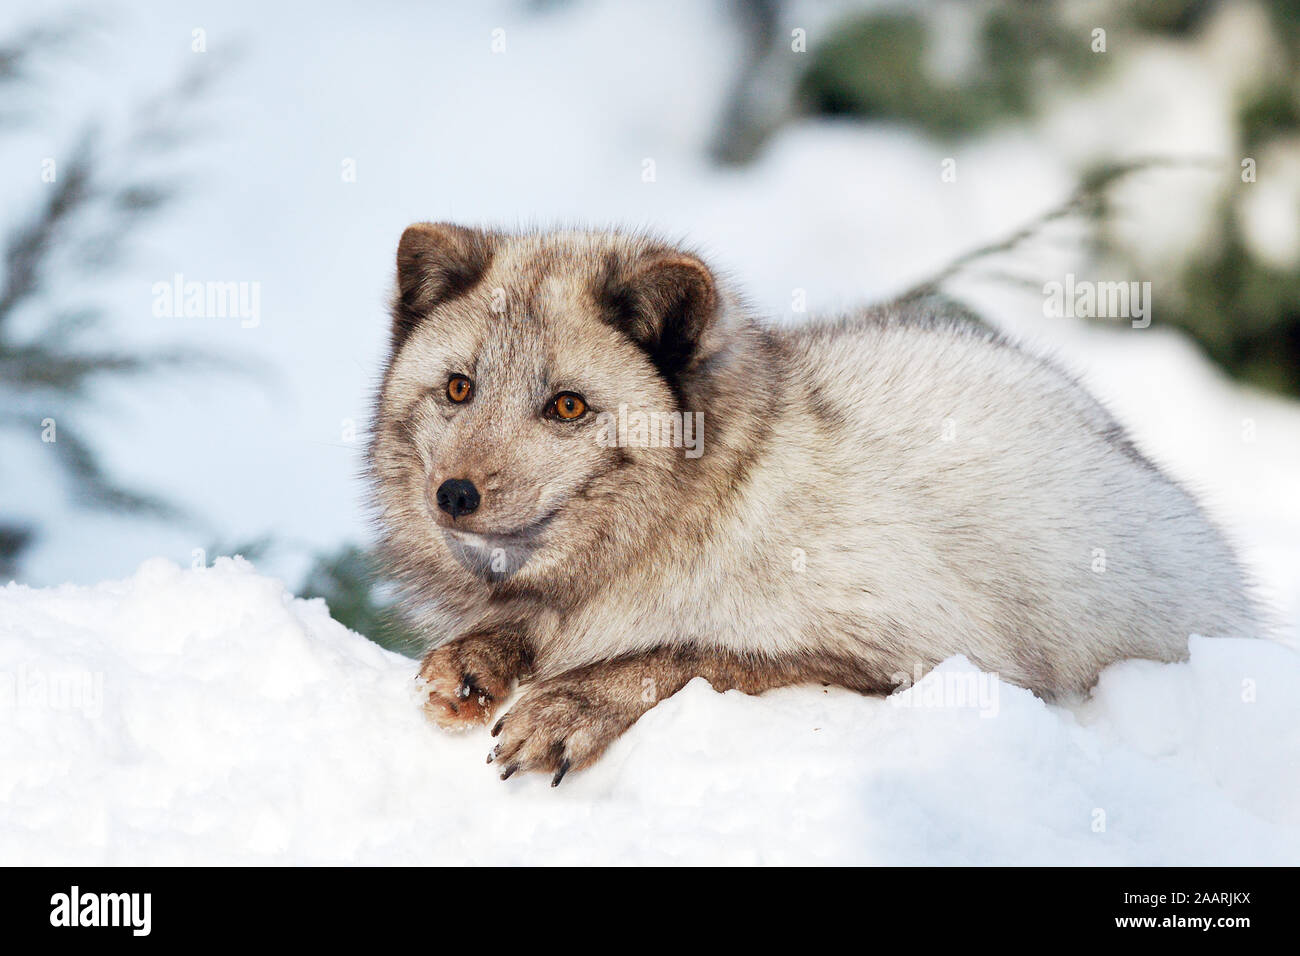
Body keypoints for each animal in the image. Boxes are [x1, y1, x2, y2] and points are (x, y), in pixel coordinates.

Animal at [369, 223, 1258, 785]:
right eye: (458, 389)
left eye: (566, 407)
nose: (454, 495)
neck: (714, 505)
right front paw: (475, 660)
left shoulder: (918, 651)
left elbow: (686, 655)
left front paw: (570, 703)